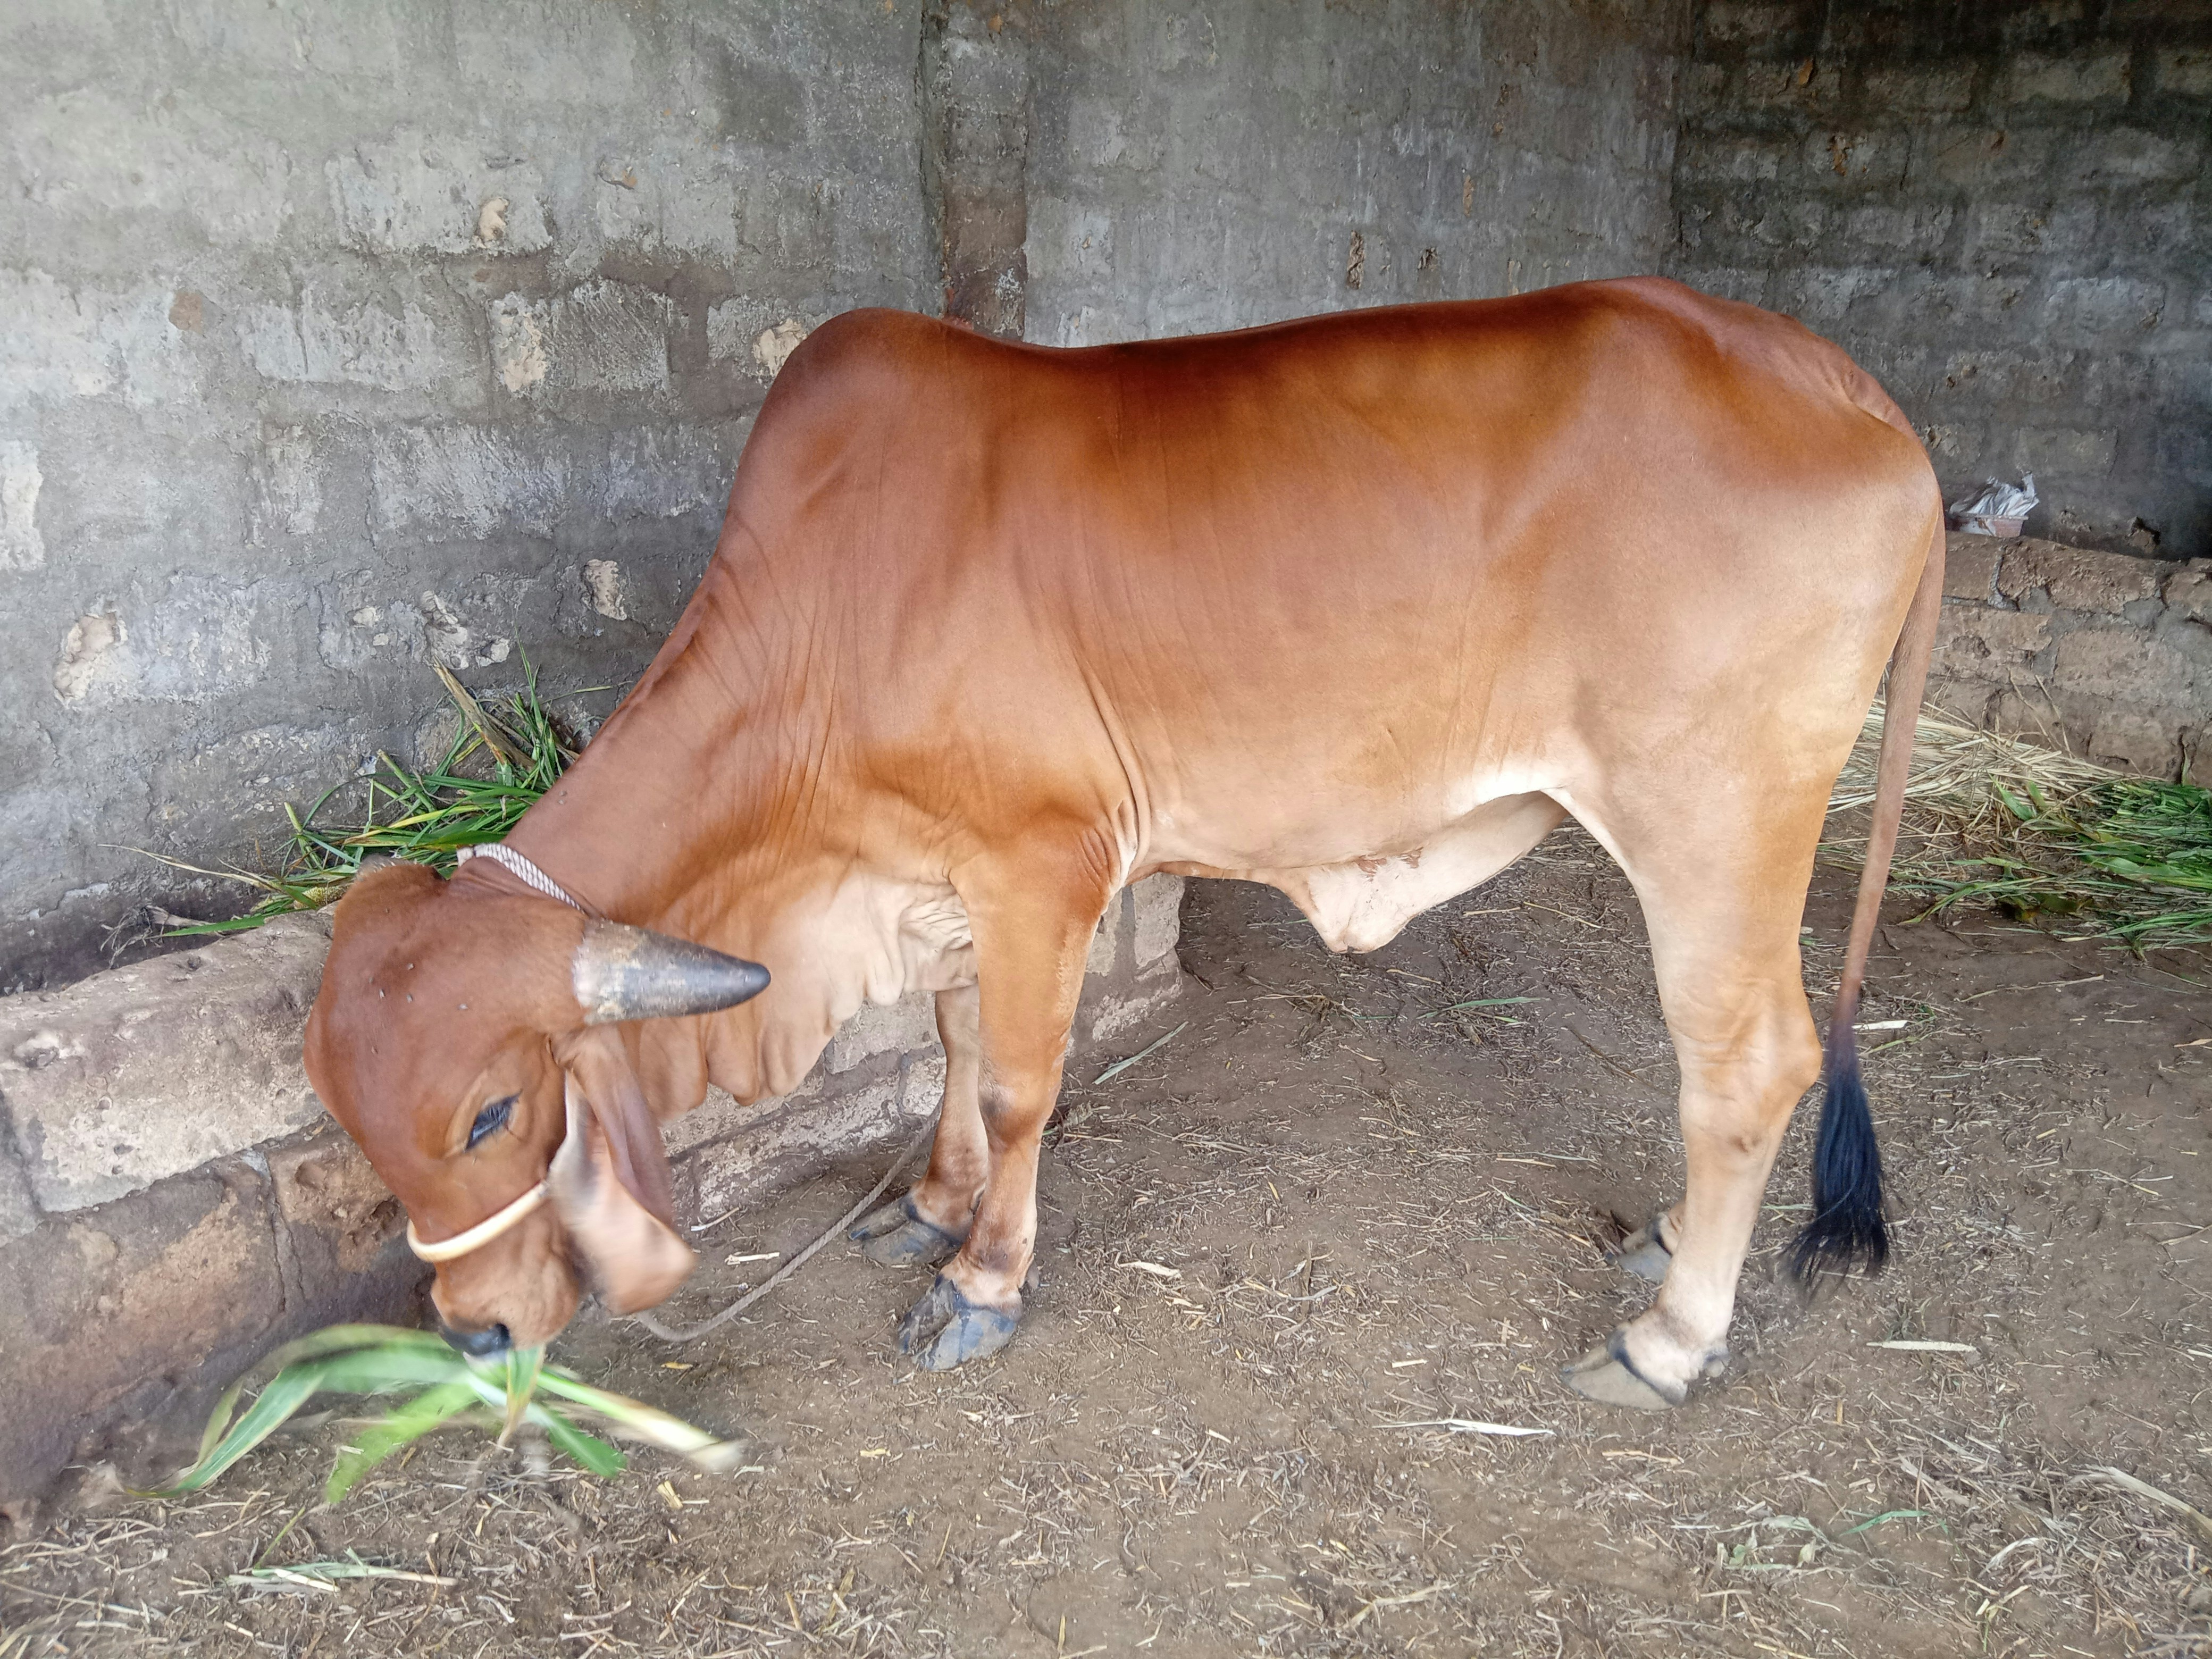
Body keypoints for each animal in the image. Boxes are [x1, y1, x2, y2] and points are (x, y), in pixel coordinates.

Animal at [303, 276, 1943, 1411]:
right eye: (350, 1125)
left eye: (491, 1113)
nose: (477, 1329)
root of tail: (1854, 394)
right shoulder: (940, 874)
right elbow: (956, 1038)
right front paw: (930, 1204)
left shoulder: (1047, 862)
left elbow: (1021, 1079)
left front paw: (983, 1278)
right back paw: (1663, 1245)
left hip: (1714, 821)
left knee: (1749, 1065)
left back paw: (1670, 1338)